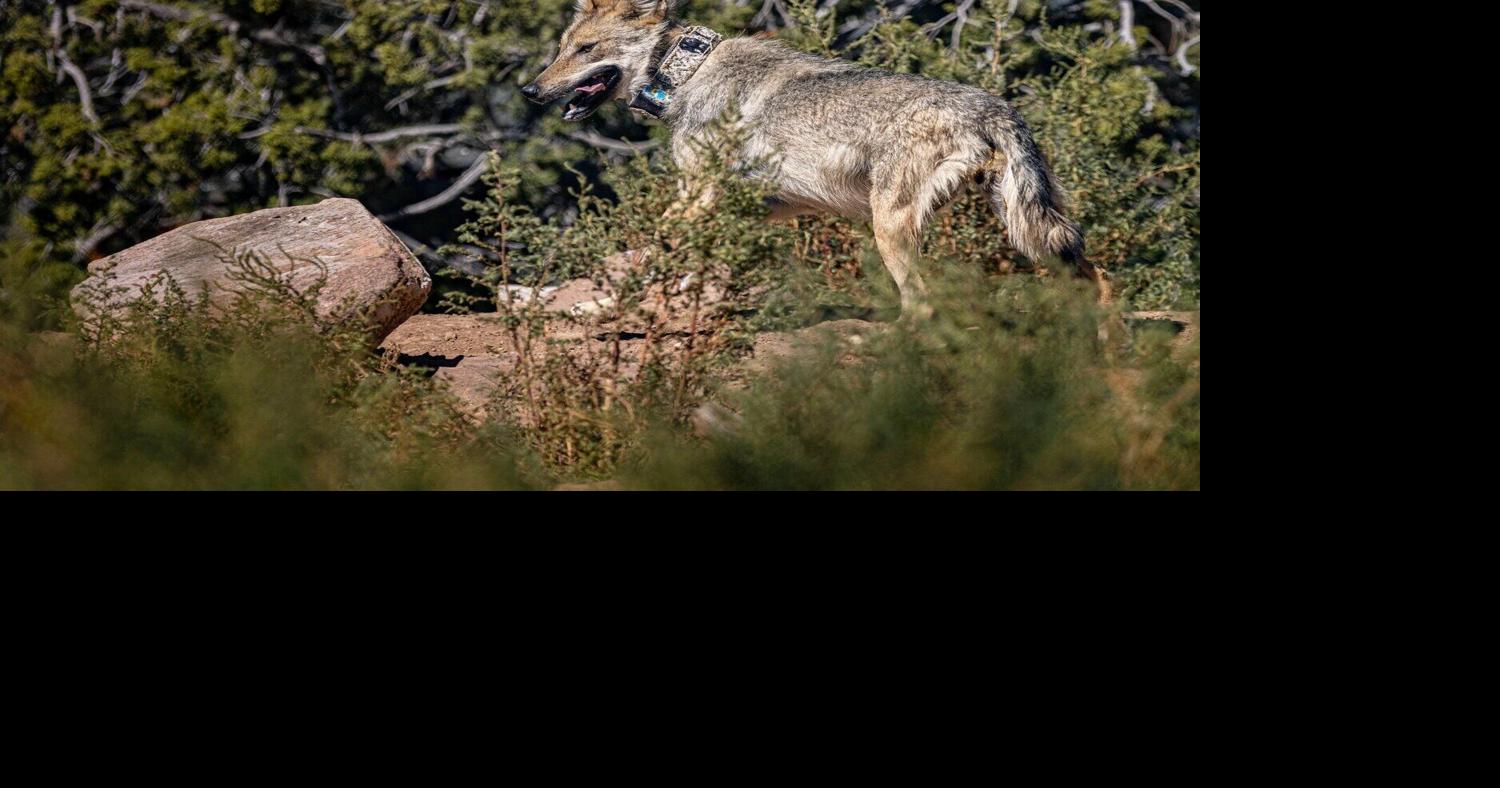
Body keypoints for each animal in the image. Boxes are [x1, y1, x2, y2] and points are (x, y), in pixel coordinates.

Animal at [522, 0, 1110, 316]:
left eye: (586, 50)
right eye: (562, 47)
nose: (530, 91)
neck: (688, 73)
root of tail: (995, 106)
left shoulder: (695, 198)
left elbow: (646, 258)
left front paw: (596, 309)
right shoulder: (742, 209)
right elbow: (682, 267)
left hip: (893, 229)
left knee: (921, 305)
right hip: (1024, 233)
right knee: (1098, 276)